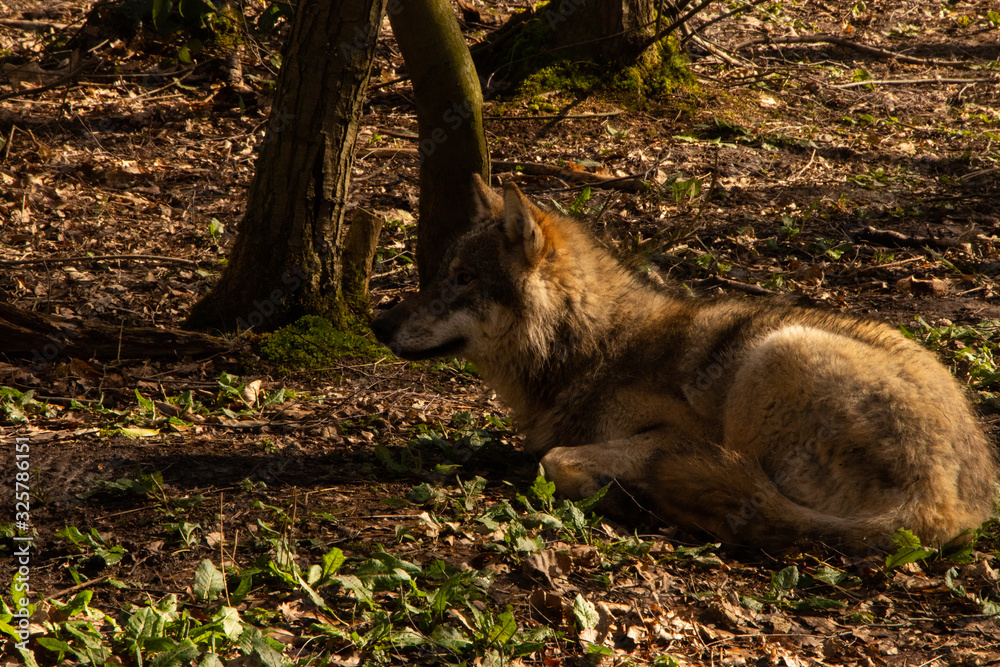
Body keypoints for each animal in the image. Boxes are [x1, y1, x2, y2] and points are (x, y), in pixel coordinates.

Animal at [372, 175, 997, 551]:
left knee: (756, 506)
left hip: (776, 353)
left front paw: (615, 492)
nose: (378, 323)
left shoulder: (677, 431)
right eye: (441, 273)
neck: (590, 347)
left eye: (461, 279)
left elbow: (555, 459)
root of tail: (945, 507)